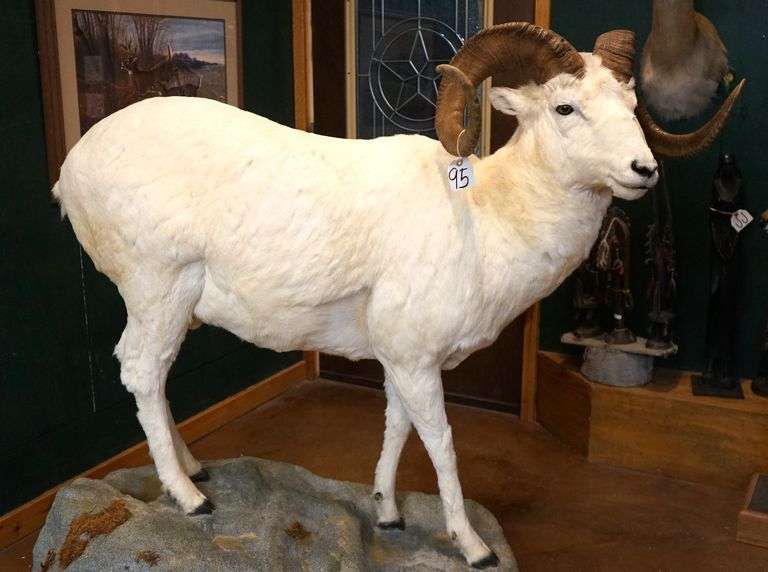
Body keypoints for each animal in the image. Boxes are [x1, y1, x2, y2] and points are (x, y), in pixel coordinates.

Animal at [53, 23, 742, 568]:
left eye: (630, 103)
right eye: (566, 108)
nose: (643, 170)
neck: (485, 218)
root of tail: (73, 167)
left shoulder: (401, 360)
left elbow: (396, 425)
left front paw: (386, 512)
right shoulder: (416, 360)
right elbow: (441, 444)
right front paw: (473, 547)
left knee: (156, 381)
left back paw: (194, 471)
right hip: (157, 293)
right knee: (142, 372)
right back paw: (191, 499)